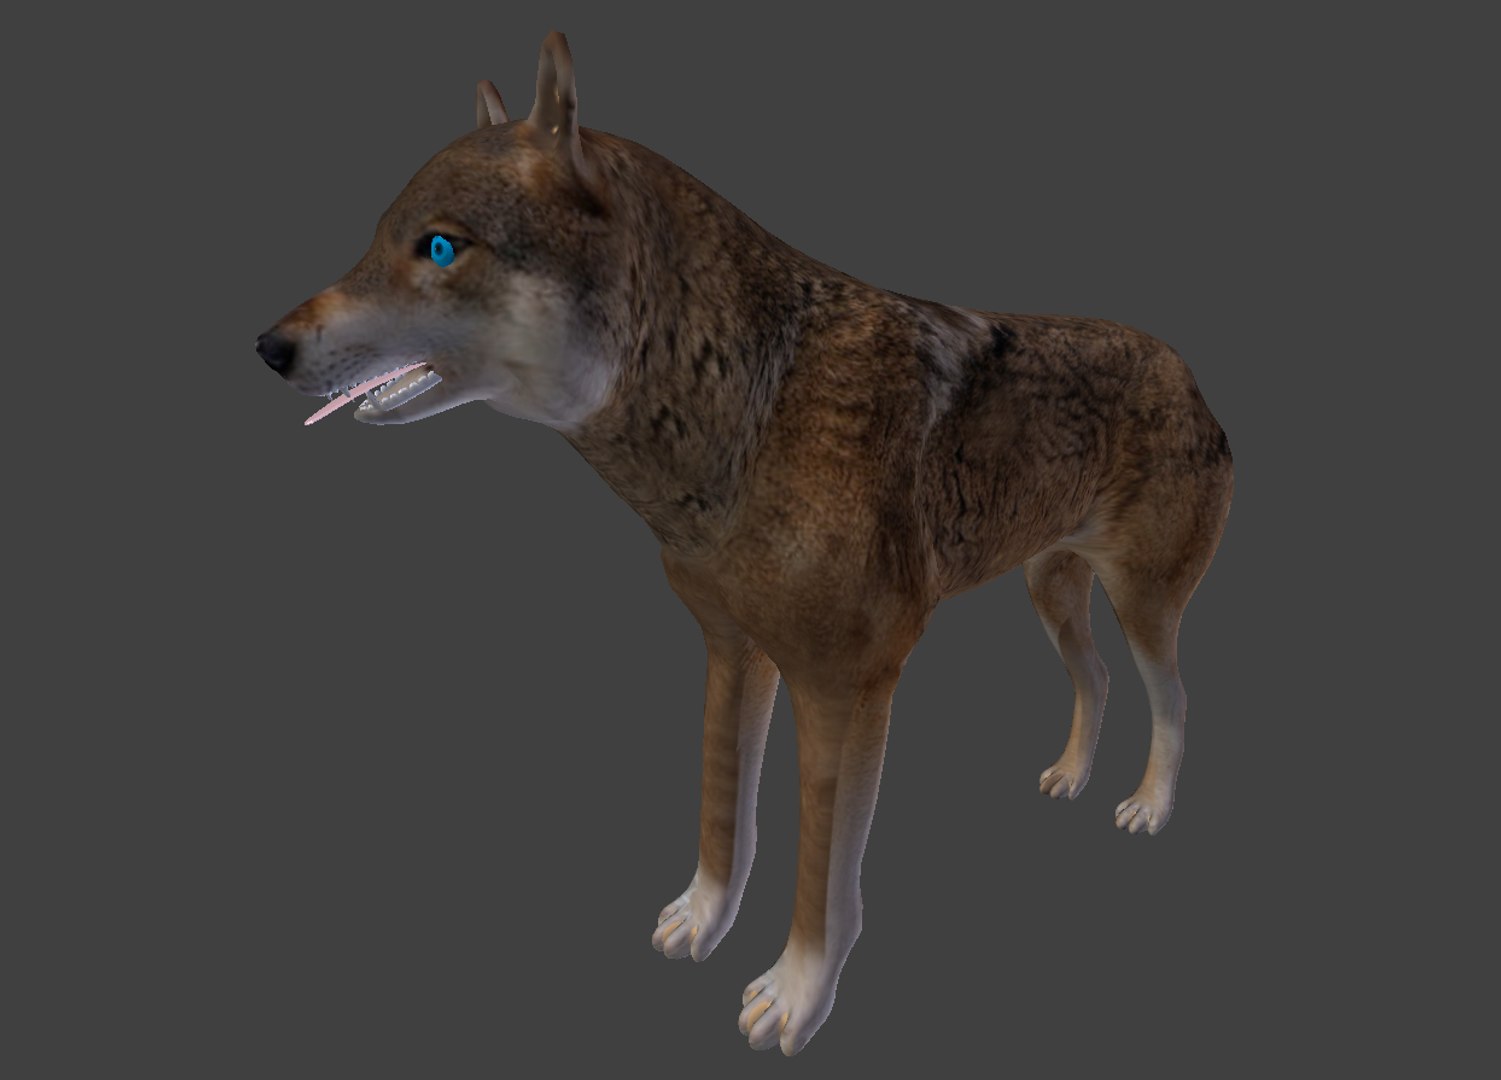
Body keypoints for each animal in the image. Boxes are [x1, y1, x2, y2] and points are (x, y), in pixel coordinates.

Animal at [256, 31, 1234, 1056]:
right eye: (375, 239)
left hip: (1140, 605)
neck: (746, 414)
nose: (267, 348)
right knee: (1096, 680)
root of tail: (1186, 368)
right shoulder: (731, 651)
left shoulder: (847, 688)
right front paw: (703, 918)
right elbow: (722, 807)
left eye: (440, 247)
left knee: (1173, 698)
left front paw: (796, 995)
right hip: (1050, 595)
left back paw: (1148, 806)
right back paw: (1071, 777)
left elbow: (820, 869)